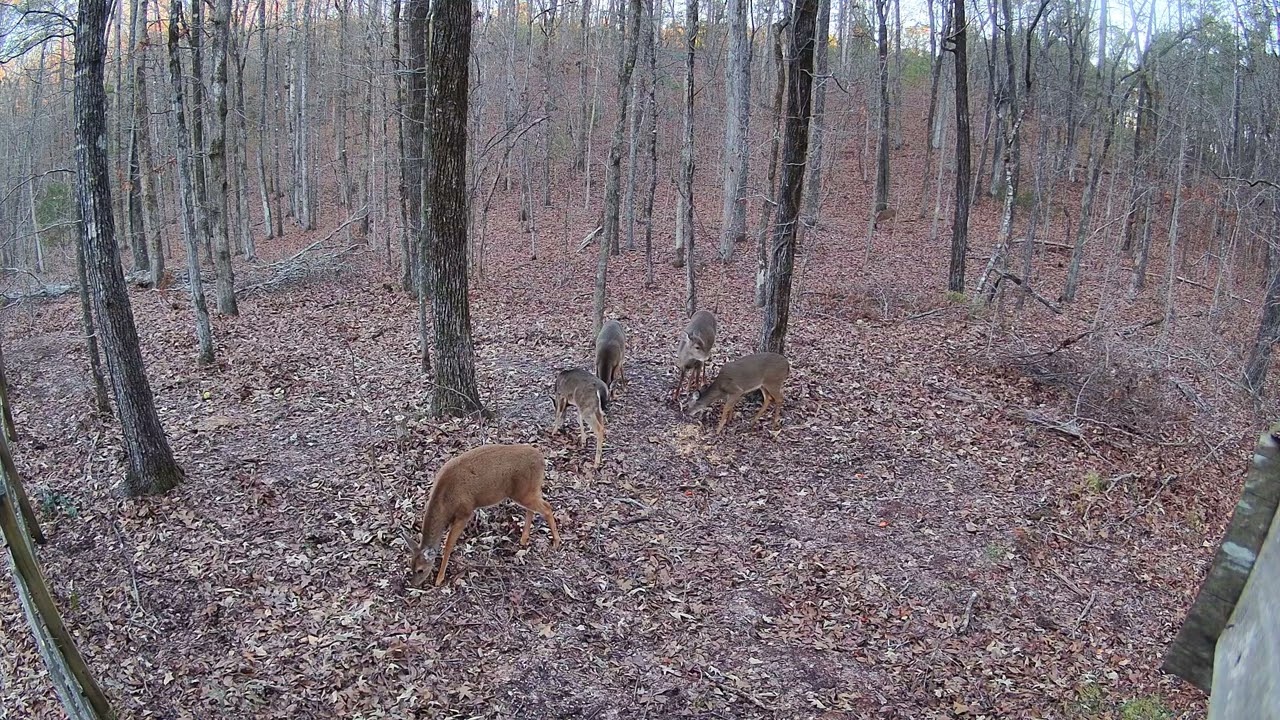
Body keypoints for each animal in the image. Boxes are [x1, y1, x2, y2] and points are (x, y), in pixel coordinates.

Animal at [401, 444, 561, 587]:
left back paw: (556, 542)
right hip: (527, 491)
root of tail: (541, 458)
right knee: (533, 509)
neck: (444, 502)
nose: (413, 584)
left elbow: (448, 544)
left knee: (547, 507)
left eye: (420, 570)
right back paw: (523, 539)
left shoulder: (465, 512)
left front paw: (439, 579)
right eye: (410, 565)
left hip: (524, 492)